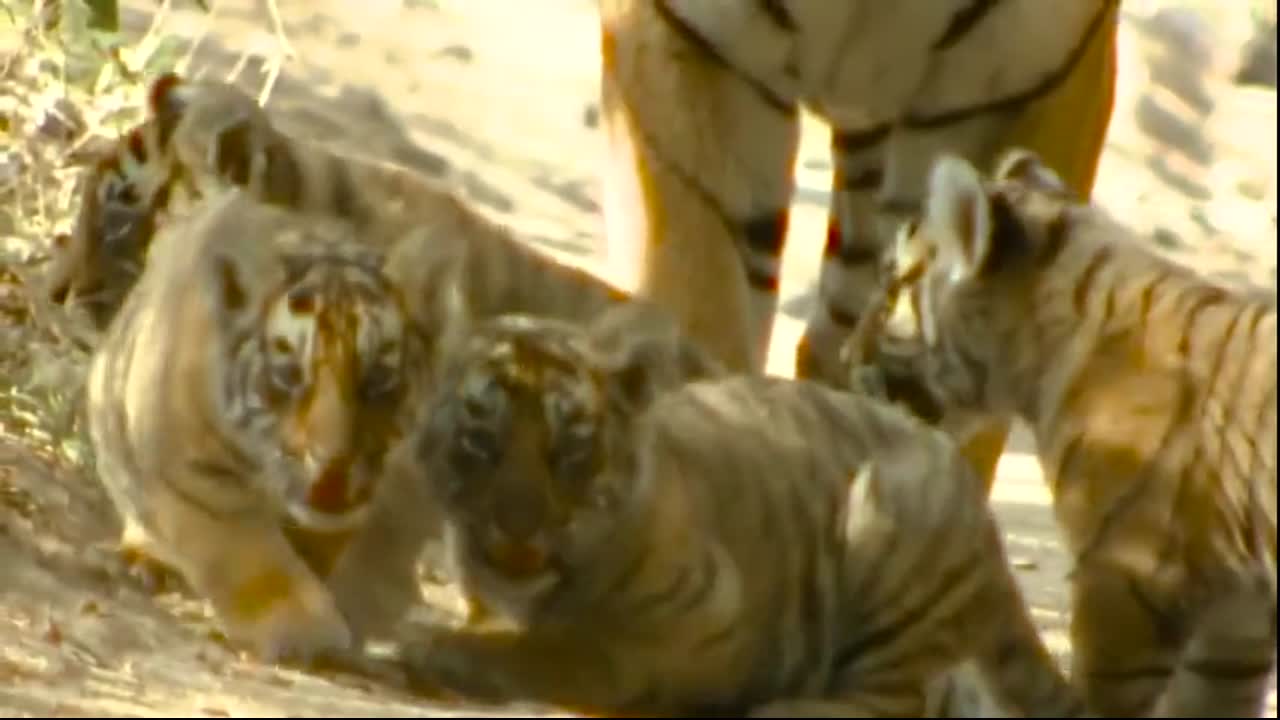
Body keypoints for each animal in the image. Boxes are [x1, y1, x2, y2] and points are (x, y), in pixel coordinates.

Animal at [84, 186, 432, 664]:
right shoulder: (191, 476)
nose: (334, 462)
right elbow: (249, 553)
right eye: (289, 373)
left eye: (376, 375)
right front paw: (304, 630)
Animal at [379, 308, 1094, 718]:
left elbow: (564, 647)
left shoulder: (693, 620)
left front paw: (436, 648)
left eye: (571, 446)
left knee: (896, 700)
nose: (519, 525)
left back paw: (785, 711)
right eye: (482, 438)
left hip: (893, 516)